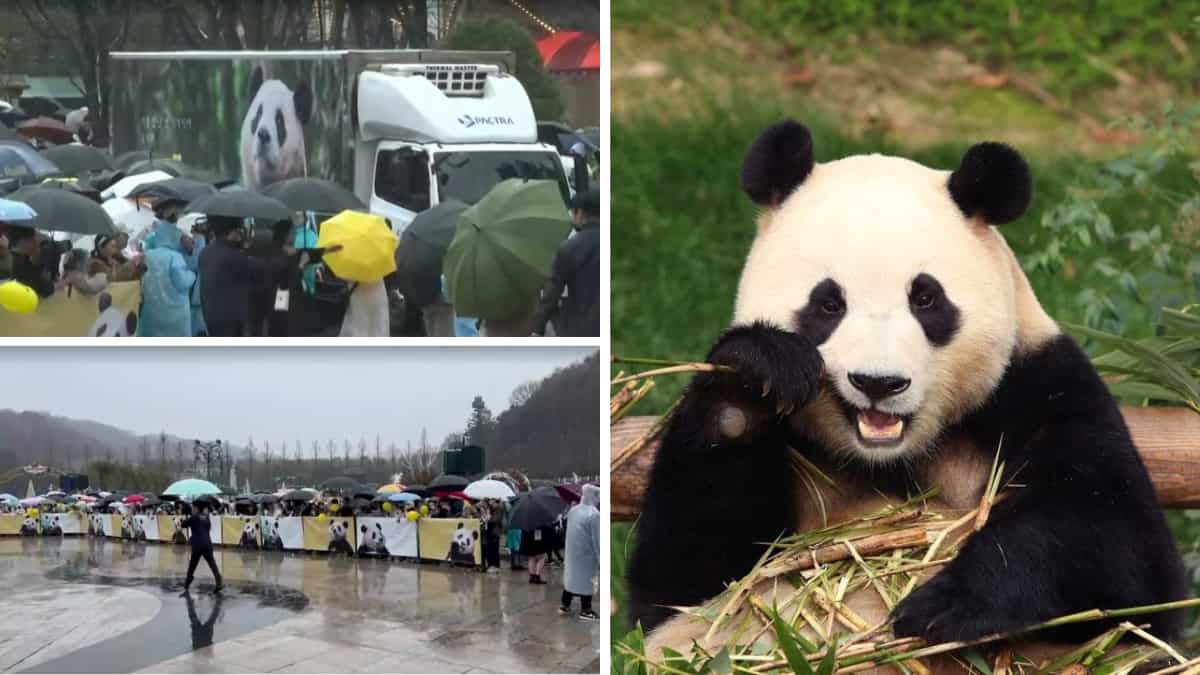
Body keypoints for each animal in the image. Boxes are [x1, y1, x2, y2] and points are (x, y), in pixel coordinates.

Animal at [627, 121, 1187, 654]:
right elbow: (682, 581)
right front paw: (753, 380)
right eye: (828, 303)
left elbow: (1120, 551)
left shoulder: (1039, 386)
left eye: (925, 298)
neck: (890, 460)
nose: (878, 382)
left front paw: (944, 604)